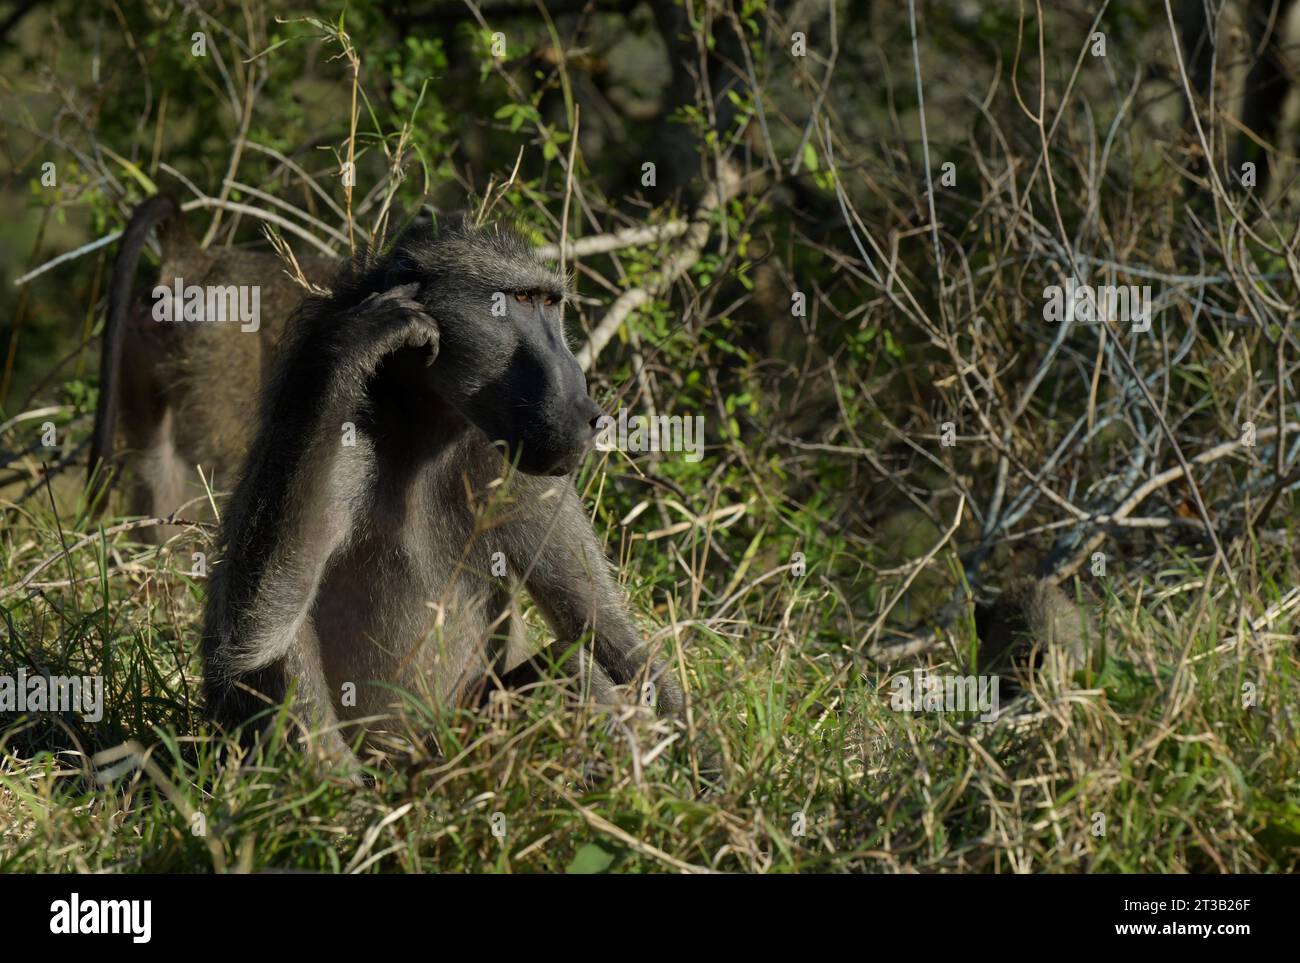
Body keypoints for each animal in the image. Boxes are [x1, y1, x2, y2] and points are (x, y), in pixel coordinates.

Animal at [200, 214, 686, 764]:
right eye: (520, 300)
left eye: (550, 303)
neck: (426, 423)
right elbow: (249, 632)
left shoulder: (519, 469)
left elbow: (608, 635)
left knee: (574, 664)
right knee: (279, 641)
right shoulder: (339, 436)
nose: (586, 411)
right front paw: (359, 339)